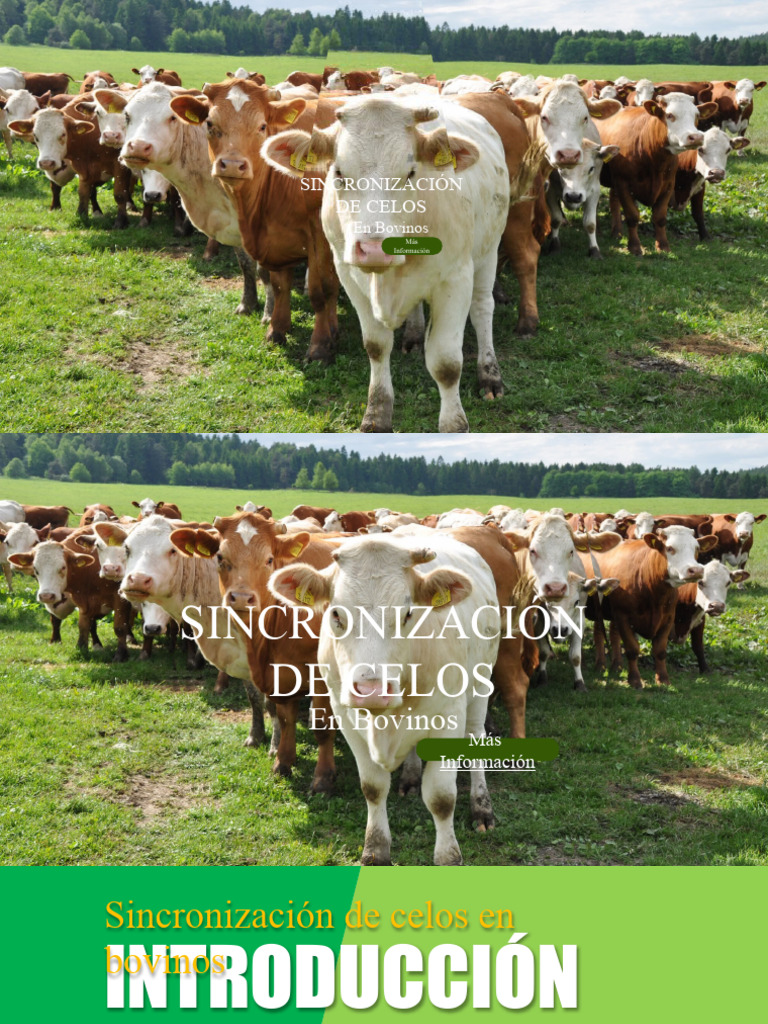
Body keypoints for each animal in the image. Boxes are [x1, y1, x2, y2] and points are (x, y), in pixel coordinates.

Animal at [169, 79, 340, 363]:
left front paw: (320, 346)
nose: (231, 165)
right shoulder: (274, 239)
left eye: (261, 126)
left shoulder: (320, 235)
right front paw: (277, 330)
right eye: (210, 124)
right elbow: (279, 285)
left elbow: (320, 290)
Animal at [261, 94, 515, 431]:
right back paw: (414, 335)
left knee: (483, 309)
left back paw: (489, 374)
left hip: (488, 250)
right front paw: (377, 415)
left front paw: (454, 425)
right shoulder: (349, 276)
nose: (374, 249)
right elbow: (376, 346)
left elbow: (446, 364)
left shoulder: (456, 278)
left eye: (410, 173)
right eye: (338, 173)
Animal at [269, 531, 499, 865]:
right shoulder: (347, 717)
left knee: (476, 737)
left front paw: (448, 856)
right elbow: (373, 787)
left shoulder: (449, 717)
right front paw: (375, 850)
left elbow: (441, 798)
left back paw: (482, 807)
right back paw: (411, 778)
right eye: (336, 613)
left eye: (408, 613)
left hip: (480, 684)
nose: (372, 691)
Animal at [580, 526, 719, 688]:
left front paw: (663, 679)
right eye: (669, 548)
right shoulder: (622, 616)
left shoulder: (668, 618)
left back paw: (609, 666)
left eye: (696, 548)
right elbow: (632, 649)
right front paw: (634, 680)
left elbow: (660, 651)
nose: (695, 570)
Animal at [597, 92, 718, 255]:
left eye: (696, 115)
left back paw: (617, 232)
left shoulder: (668, 185)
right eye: (670, 115)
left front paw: (663, 245)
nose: (696, 137)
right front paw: (634, 247)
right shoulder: (622, 183)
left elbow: (660, 217)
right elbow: (632, 216)